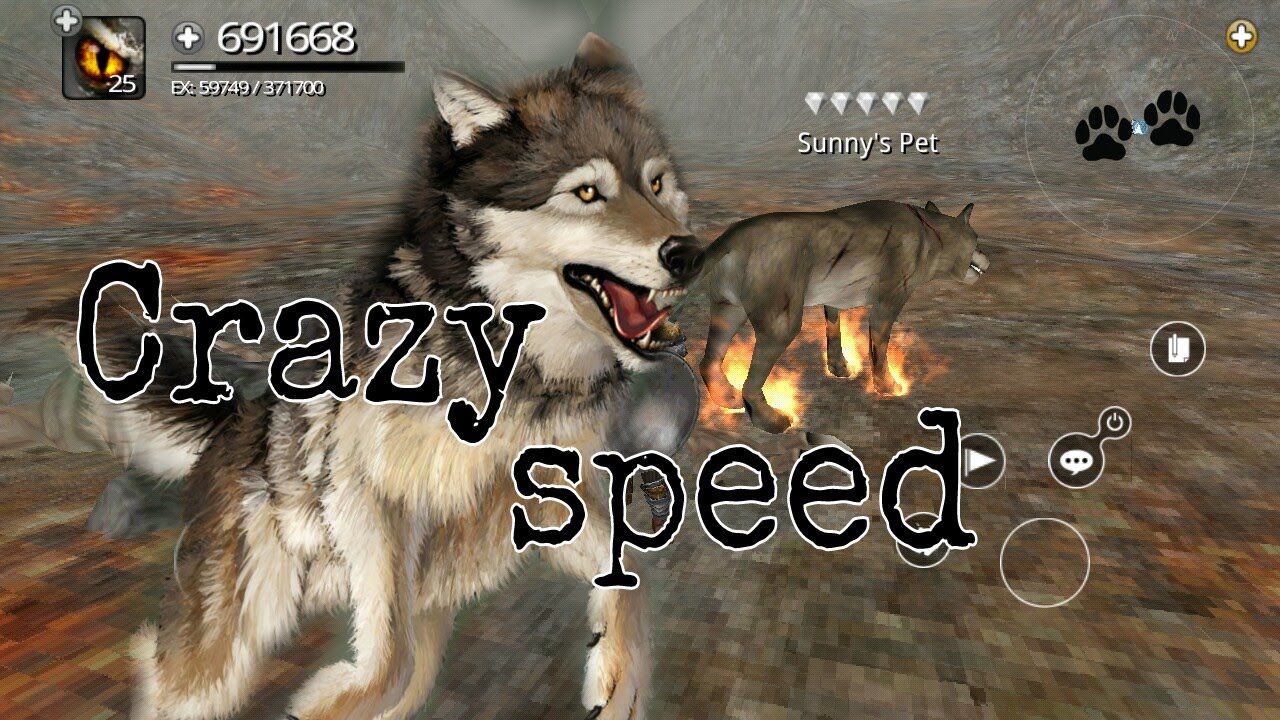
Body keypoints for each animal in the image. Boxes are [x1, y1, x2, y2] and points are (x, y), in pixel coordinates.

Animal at [28, 34, 700, 720]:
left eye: (657, 184)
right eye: (587, 193)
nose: (688, 253)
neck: (506, 373)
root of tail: (240, 417)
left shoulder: (550, 503)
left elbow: (629, 579)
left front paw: (618, 684)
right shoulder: (369, 503)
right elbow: (386, 659)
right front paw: (321, 701)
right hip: (225, 648)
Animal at [696, 200, 989, 434]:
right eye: (976, 239)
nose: (987, 257)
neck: (930, 232)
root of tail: (732, 236)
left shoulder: (833, 299)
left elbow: (833, 329)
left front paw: (839, 368)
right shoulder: (888, 302)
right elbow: (879, 348)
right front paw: (887, 386)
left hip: (728, 310)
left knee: (708, 361)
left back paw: (727, 399)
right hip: (781, 323)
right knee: (750, 382)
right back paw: (771, 421)